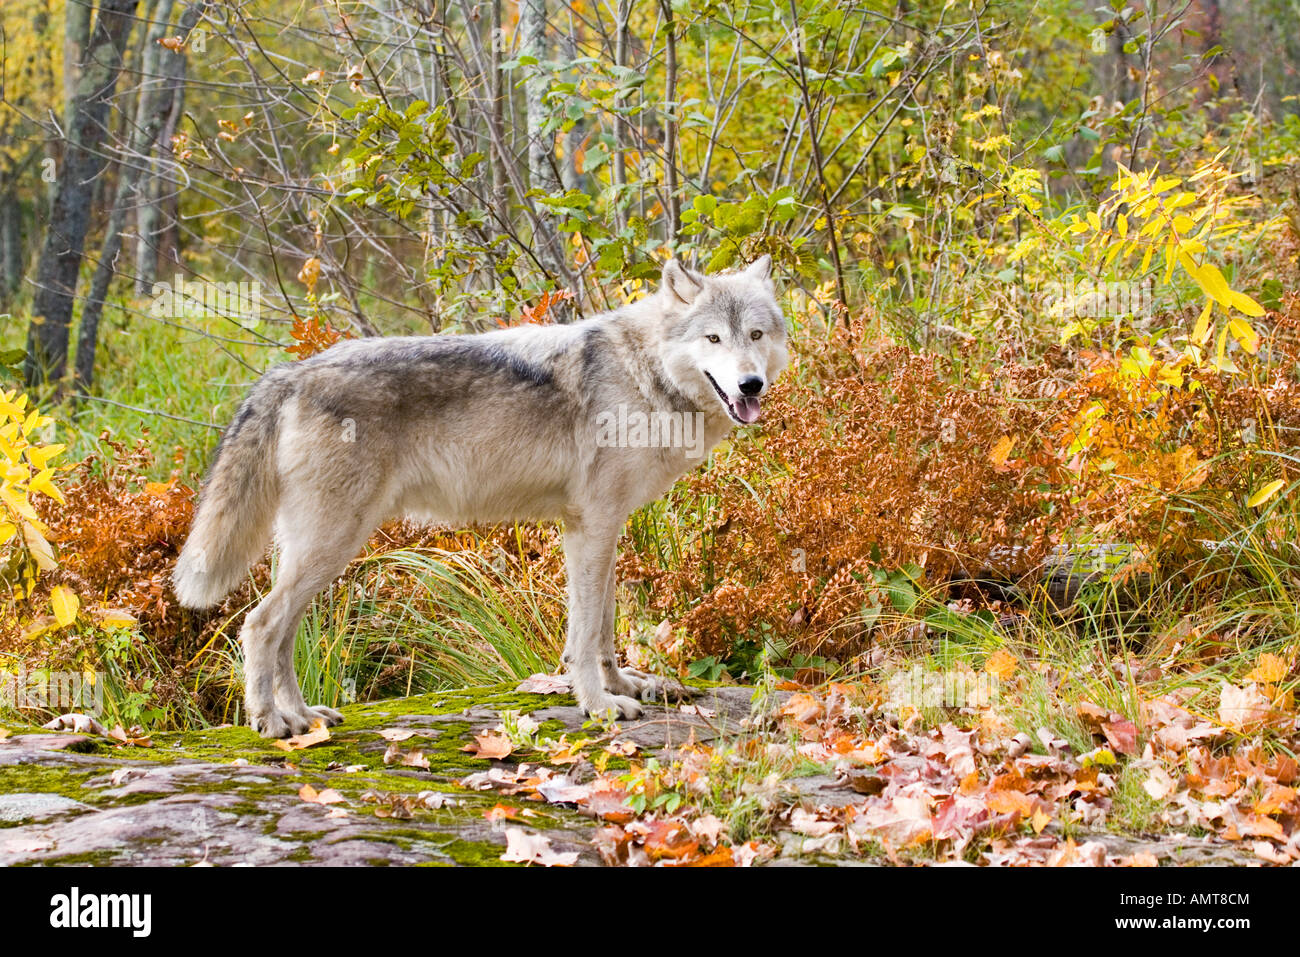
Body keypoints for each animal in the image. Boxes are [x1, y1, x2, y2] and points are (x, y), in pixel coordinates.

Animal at [173, 256, 788, 737]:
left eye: (755, 336)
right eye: (713, 339)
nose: (750, 385)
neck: (644, 372)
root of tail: (290, 372)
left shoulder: (604, 529)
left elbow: (605, 629)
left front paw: (626, 687)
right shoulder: (589, 526)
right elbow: (585, 632)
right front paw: (598, 706)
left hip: (318, 553)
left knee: (281, 633)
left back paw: (305, 718)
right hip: (332, 545)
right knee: (259, 625)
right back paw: (272, 723)